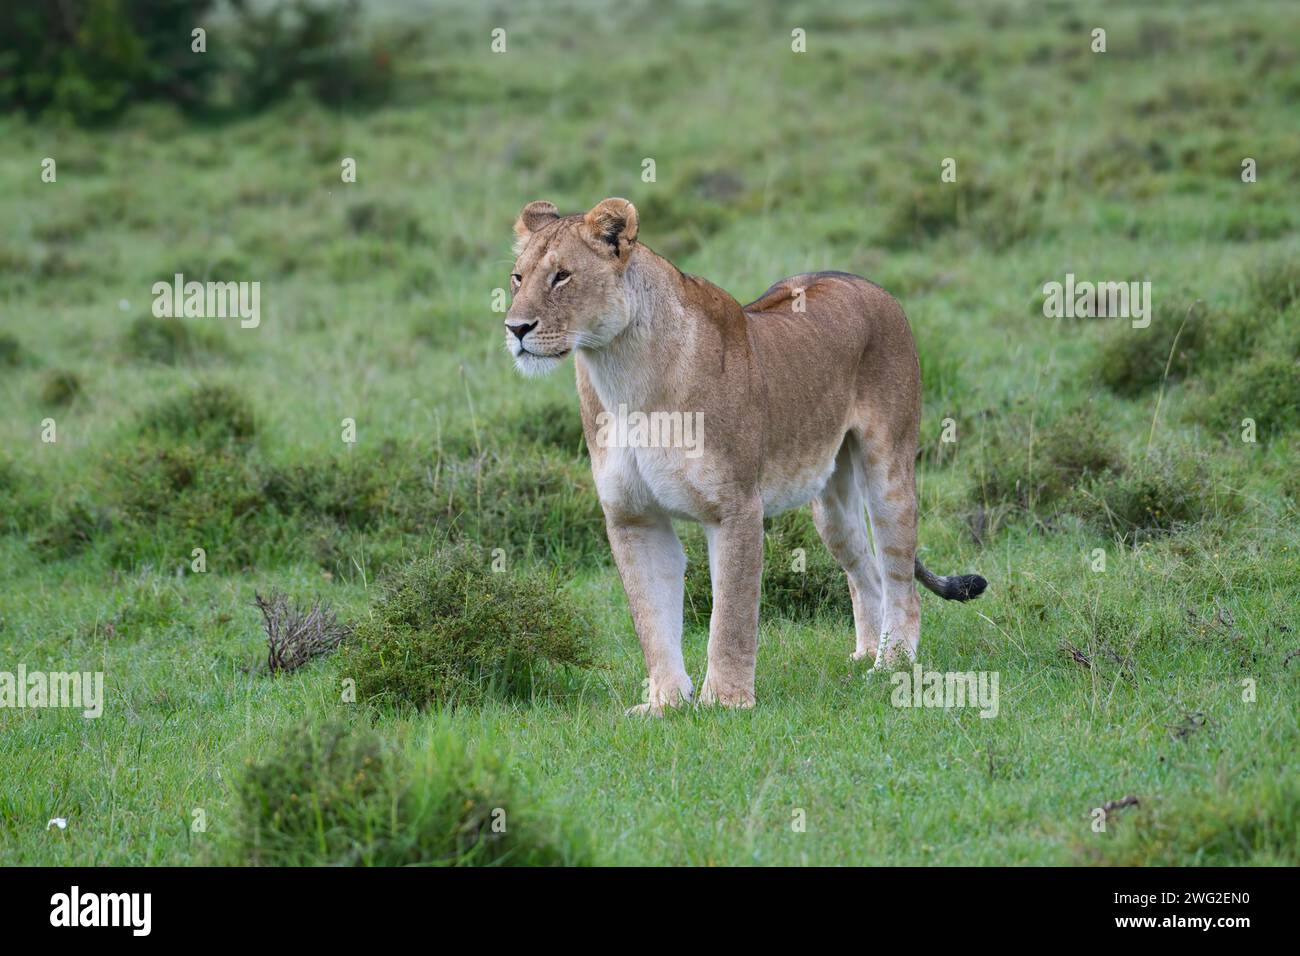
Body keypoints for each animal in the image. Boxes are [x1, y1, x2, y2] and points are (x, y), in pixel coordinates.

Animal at [505, 197, 987, 714]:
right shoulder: (633, 517)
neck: (621, 374)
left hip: (888, 470)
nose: (515, 328)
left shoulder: (735, 508)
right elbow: (651, 617)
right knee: (867, 572)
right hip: (831, 506)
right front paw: (665, 703)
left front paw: (725, 701)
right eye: (518, 278)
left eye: (562, 276)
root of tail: (865, 282)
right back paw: (864, 657)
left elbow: (731, 617)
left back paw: (891, 664)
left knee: (900, 578)